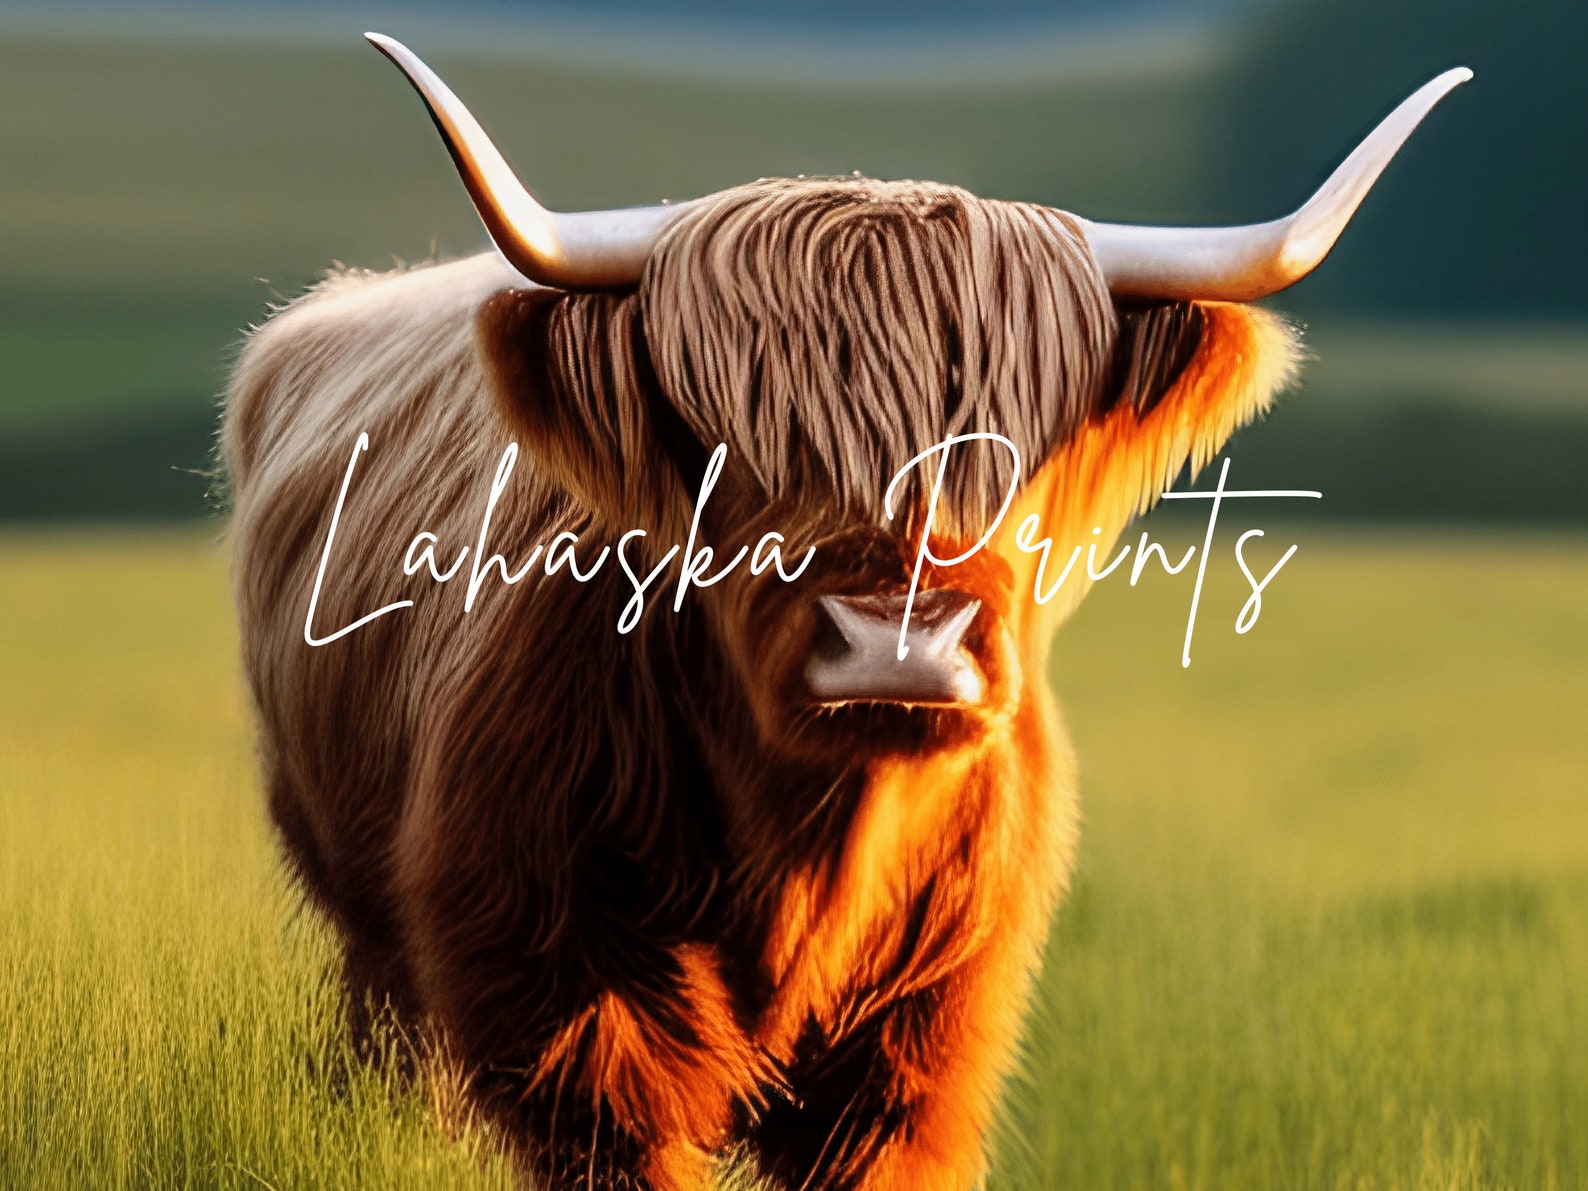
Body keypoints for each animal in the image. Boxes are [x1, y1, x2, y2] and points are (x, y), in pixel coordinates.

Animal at [220, 34, 1468, 1191]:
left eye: (1016, 447)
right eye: (728, 443)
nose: (897, 646)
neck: (807, 843)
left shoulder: (917, 1055)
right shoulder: (559, 996)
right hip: (365, 926)